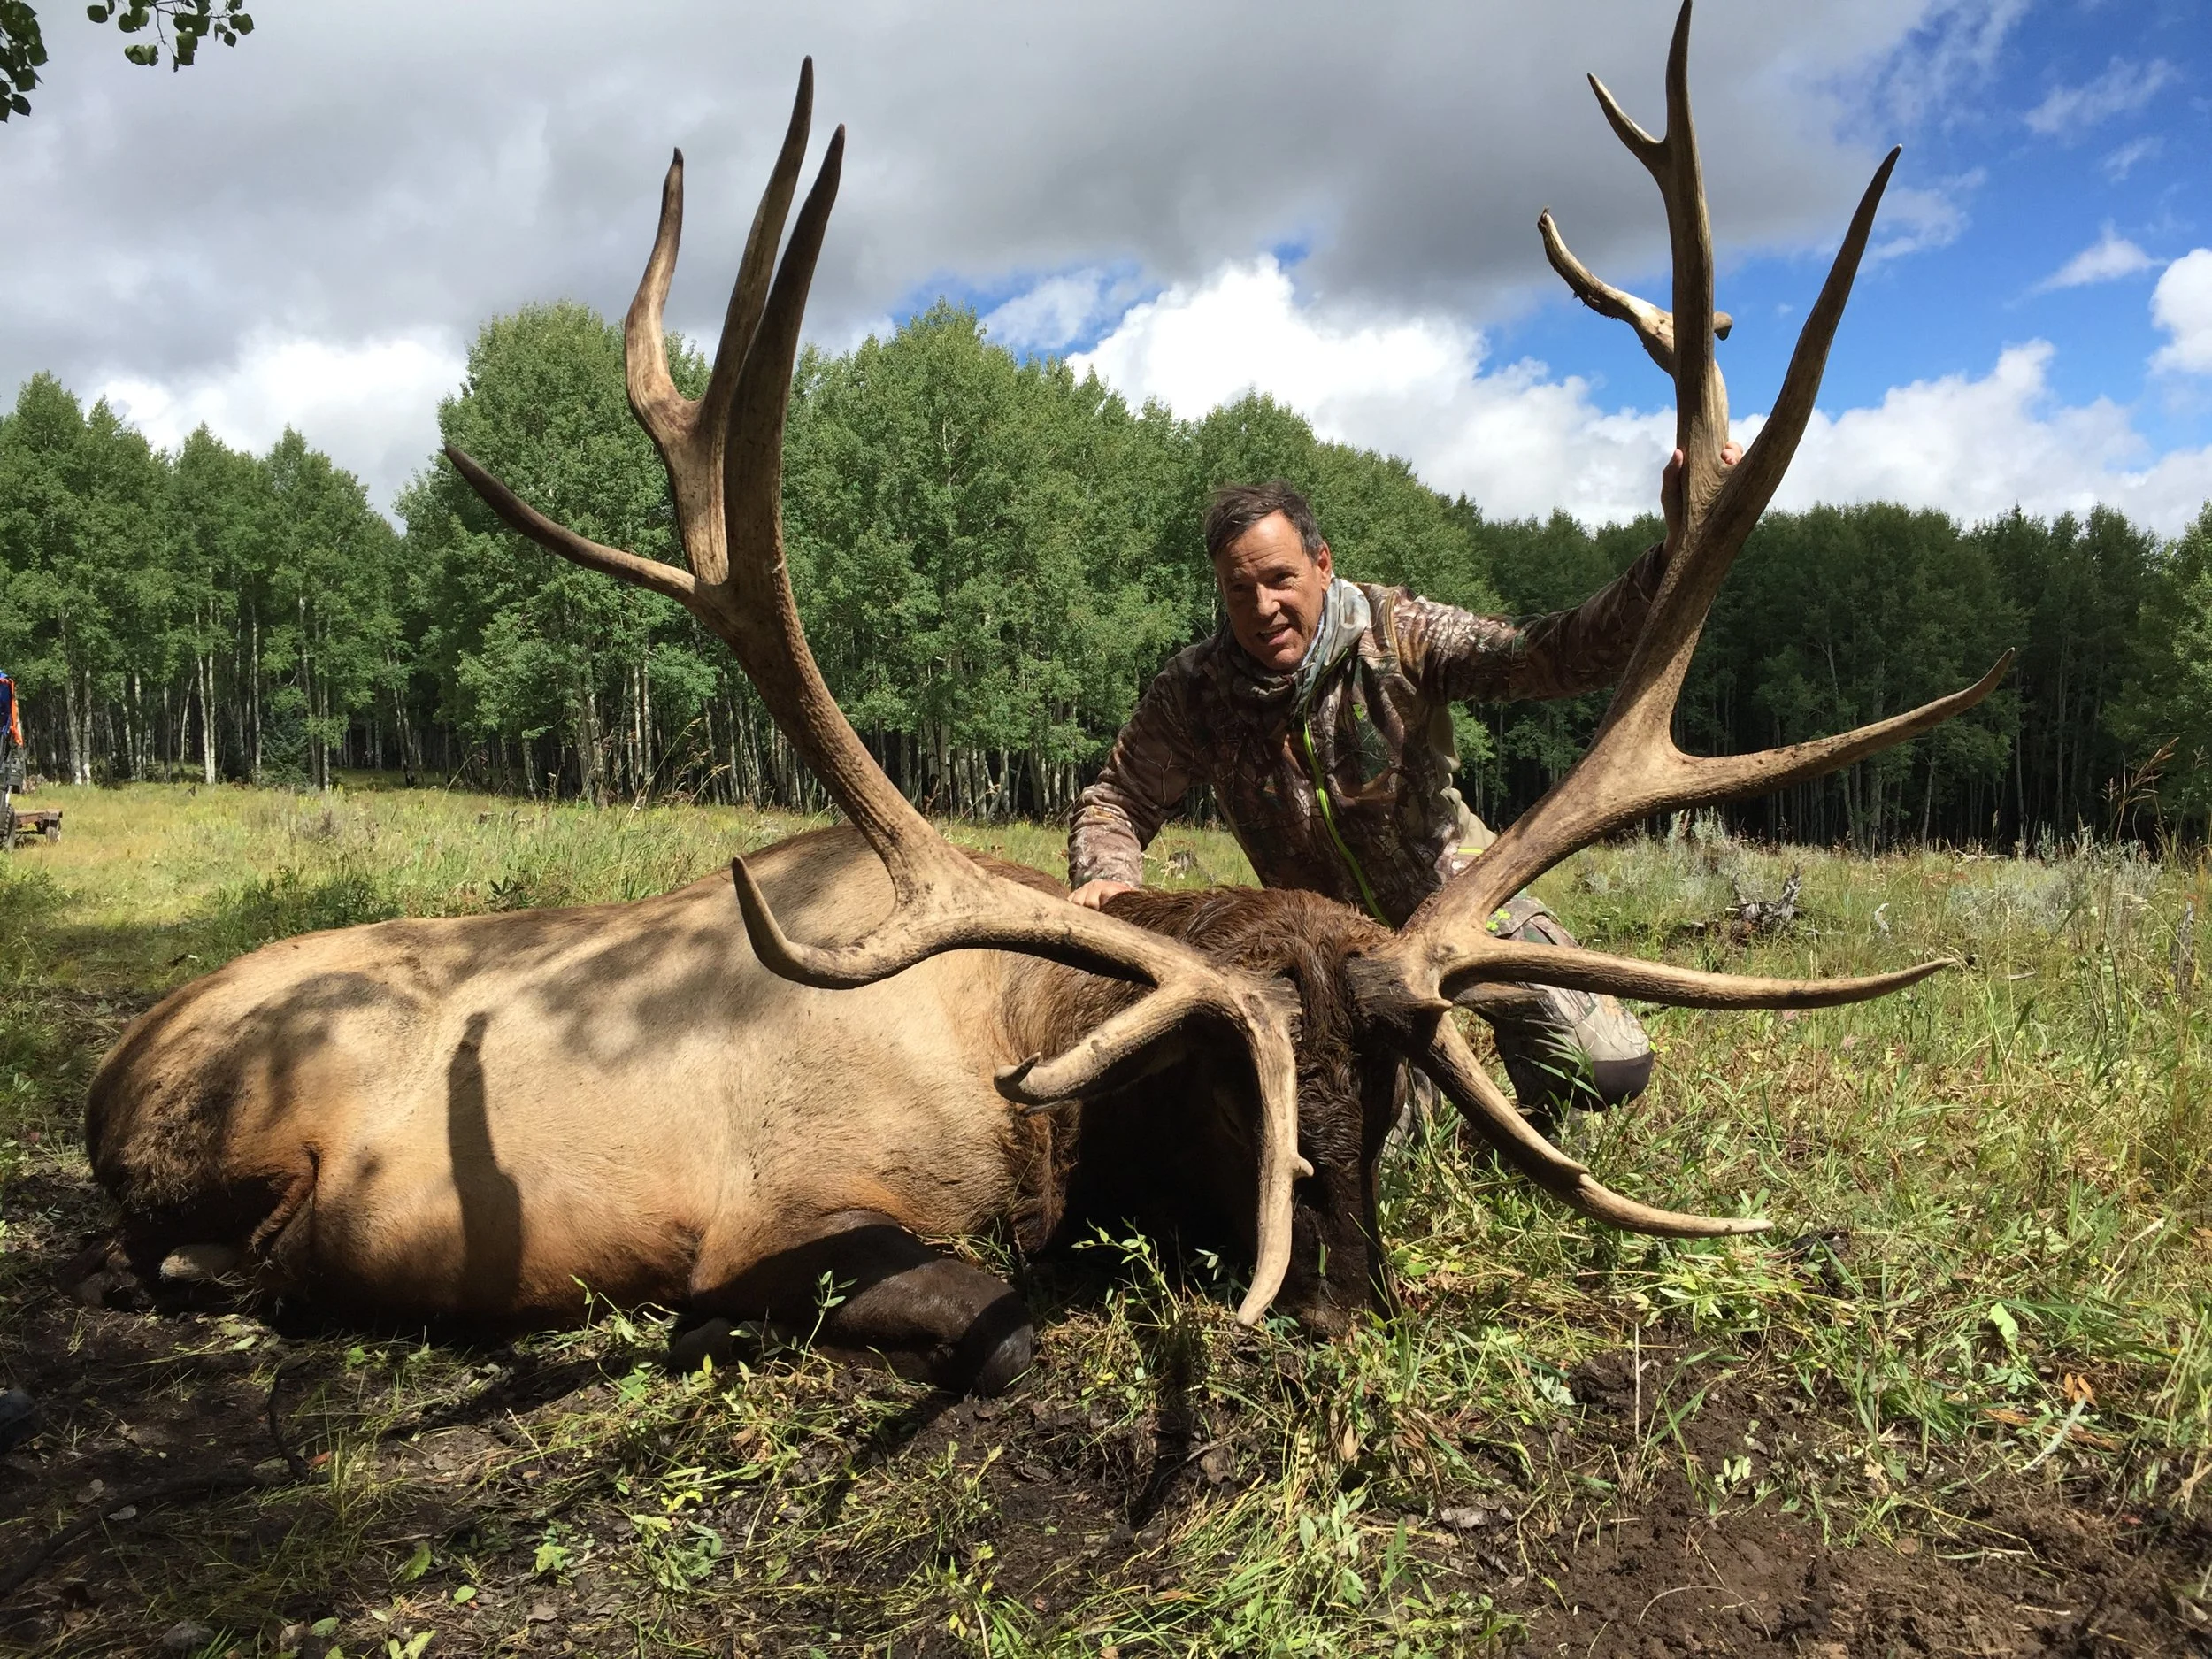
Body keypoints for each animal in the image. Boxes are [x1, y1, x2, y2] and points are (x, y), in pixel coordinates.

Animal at [85, 5, 2007, 1395]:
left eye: (1395, 1079)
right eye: (1229, 1085)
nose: (1345, 1300)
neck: (1032, 1069)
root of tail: (110, 1065)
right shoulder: (771, 1221)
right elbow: (989, 1330)